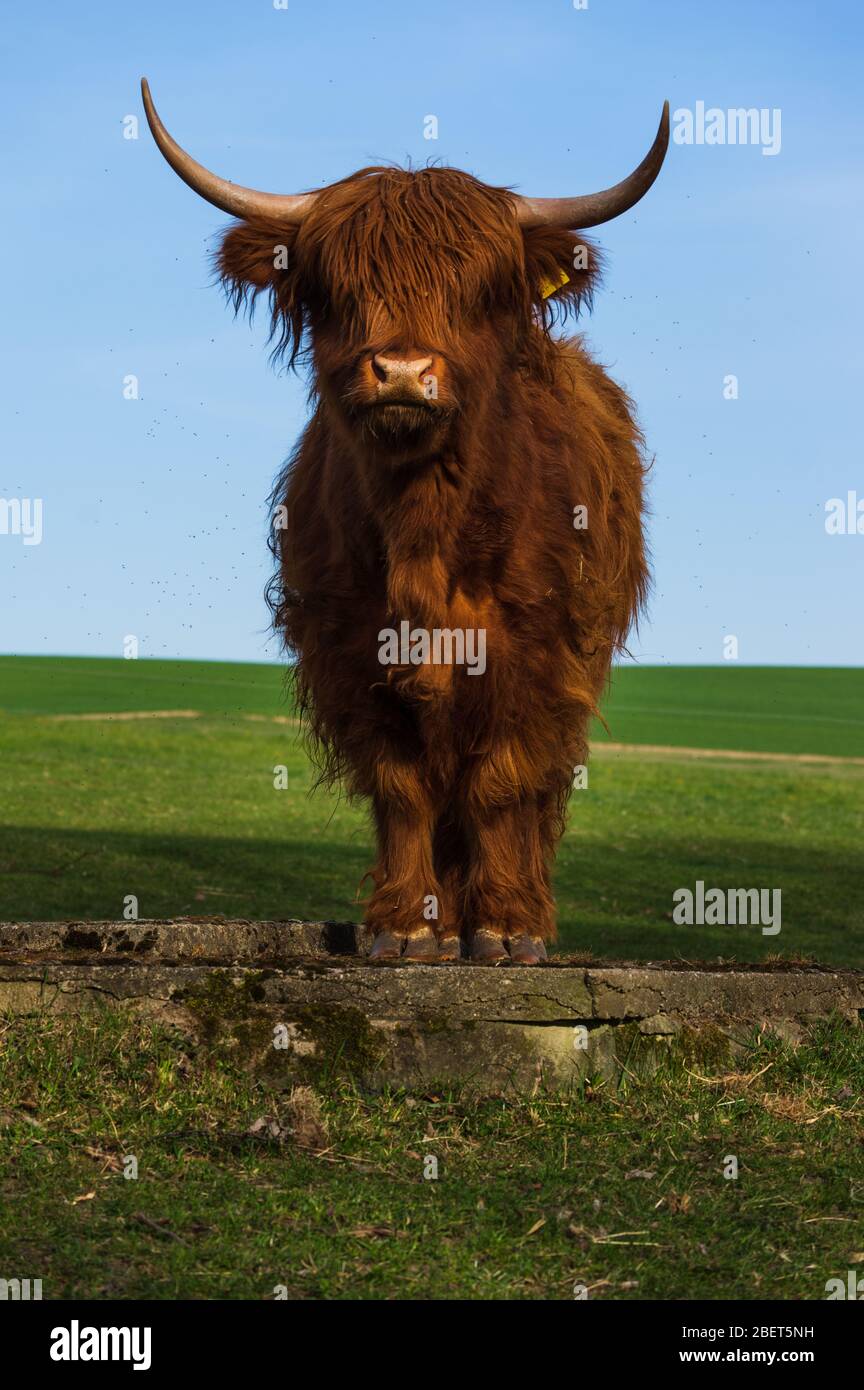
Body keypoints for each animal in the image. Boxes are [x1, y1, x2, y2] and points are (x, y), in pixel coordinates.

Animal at [142, 80, 668, 965]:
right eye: (336, 289)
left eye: (480, 292)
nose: (401, 371)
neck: (425, 531)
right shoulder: (351, 647)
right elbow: (404, 784)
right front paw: (406, 925)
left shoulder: (536, 652)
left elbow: (502, 782)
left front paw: (505, 926)